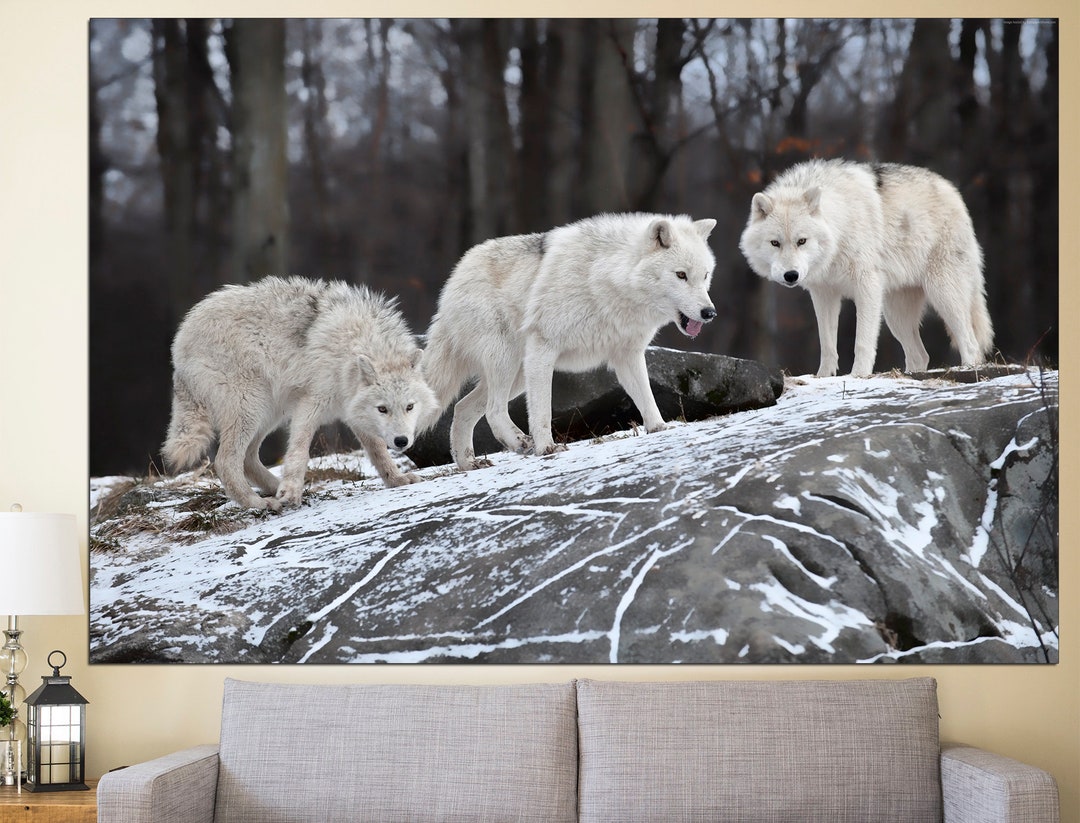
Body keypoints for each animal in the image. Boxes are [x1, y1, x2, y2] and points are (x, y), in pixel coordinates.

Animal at [163, 276, 437, 511]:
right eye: (383, 409)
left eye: (409, 407)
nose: (402, 441)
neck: (351, 346)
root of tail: (179, 341)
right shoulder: (310, 403)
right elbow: (299, 451)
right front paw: (291, 491)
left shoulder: (352, 410)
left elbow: (378, 451)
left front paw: (397, 480)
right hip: (252, 407)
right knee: (226, 462)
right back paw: (259, 502)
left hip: (270, 412)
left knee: (248, 459)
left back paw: (278, 489)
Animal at [421, 213, 718, 470]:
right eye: (681, 275)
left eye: (705, 276)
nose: (709, 313)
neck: (607, 279)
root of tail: (455, 277)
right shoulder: (543, 348)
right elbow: (542, 410)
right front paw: (546, 448)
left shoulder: (627, 355)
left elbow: (646, 397)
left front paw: (659, 429)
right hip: (508, 362)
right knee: (494, 410)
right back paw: (520, 443)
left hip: (518, 374)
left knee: (462, 407)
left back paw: (468, 464)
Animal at [739, 159, 993, 377]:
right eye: (775, 243)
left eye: (802, 241)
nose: (791, 275)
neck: (840, 226)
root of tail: (952, 191)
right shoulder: (823, 294)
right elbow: (827, 344)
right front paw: (823, 377)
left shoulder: (867, 286)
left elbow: (862, 342)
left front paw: (858, 375)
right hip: (895, 315)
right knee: (920, 355)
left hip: (942, 295)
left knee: (970, 343)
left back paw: (969, 369)